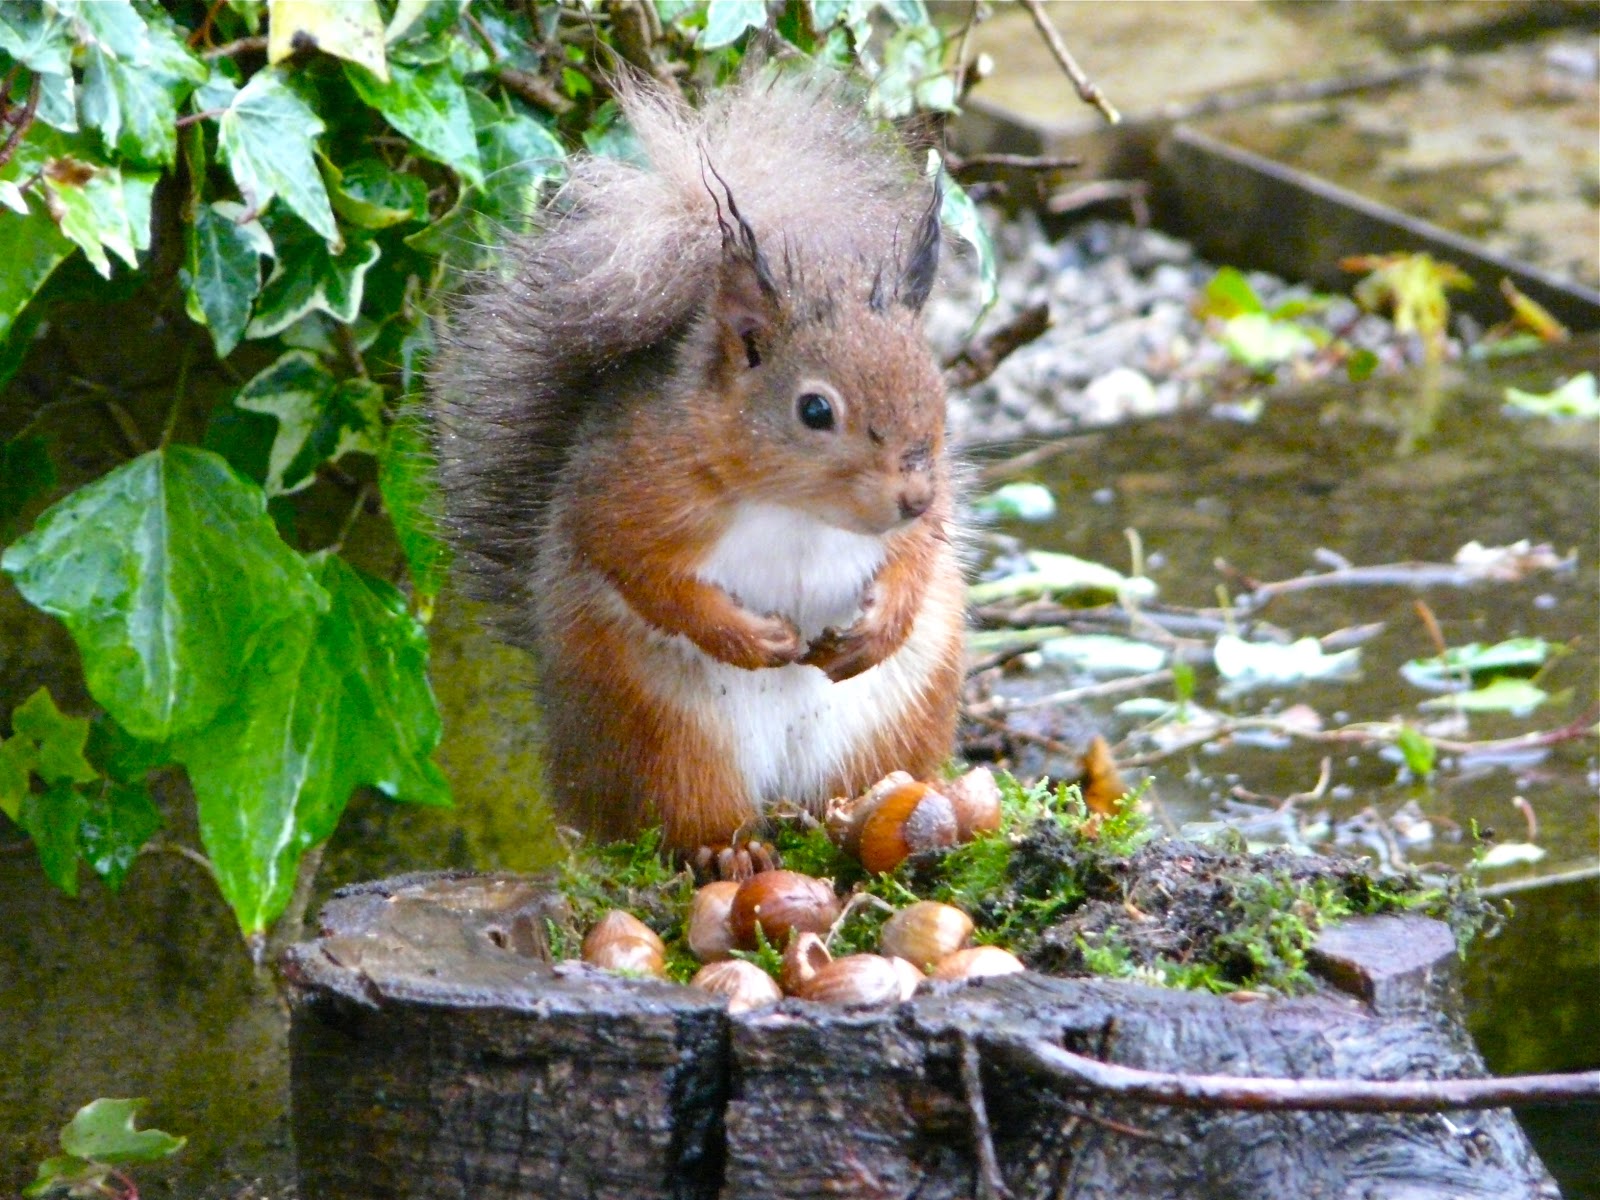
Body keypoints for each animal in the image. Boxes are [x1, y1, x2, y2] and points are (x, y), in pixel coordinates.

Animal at [432, 70, 966, 861]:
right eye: (815, 410)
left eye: (935, 386)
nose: (912, 498)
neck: (794, 508)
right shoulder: (629, 485)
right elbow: (640, 570)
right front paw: (748, 637)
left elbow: (919, 558)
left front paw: (880, 624)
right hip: (665, 736)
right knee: (687, 814)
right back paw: (728, 849)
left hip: (891, 720)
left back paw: (855, 817)